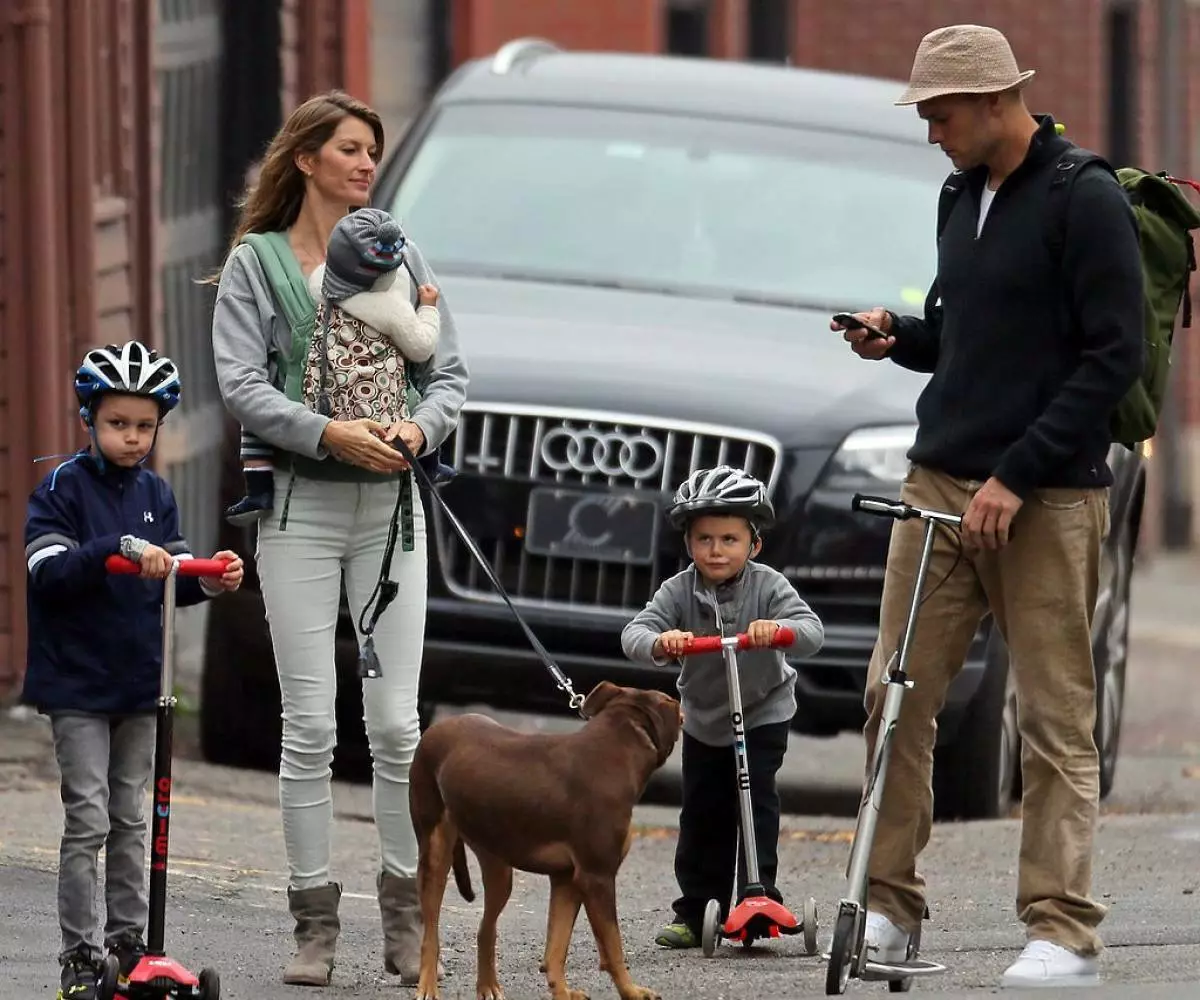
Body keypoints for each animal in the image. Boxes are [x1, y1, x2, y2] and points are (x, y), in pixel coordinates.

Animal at [408, 677, 681, 998]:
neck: (618, 746)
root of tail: (432, 731)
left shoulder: (566, 878)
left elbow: (556, 949)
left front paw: (563, 992)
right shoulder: (597, 877)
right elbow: (613, 948)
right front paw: (631, 991)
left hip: (497, 863)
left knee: (486, 929)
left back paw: (488, 986)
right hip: (434, 852)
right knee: (431, 932)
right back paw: (428, 986)